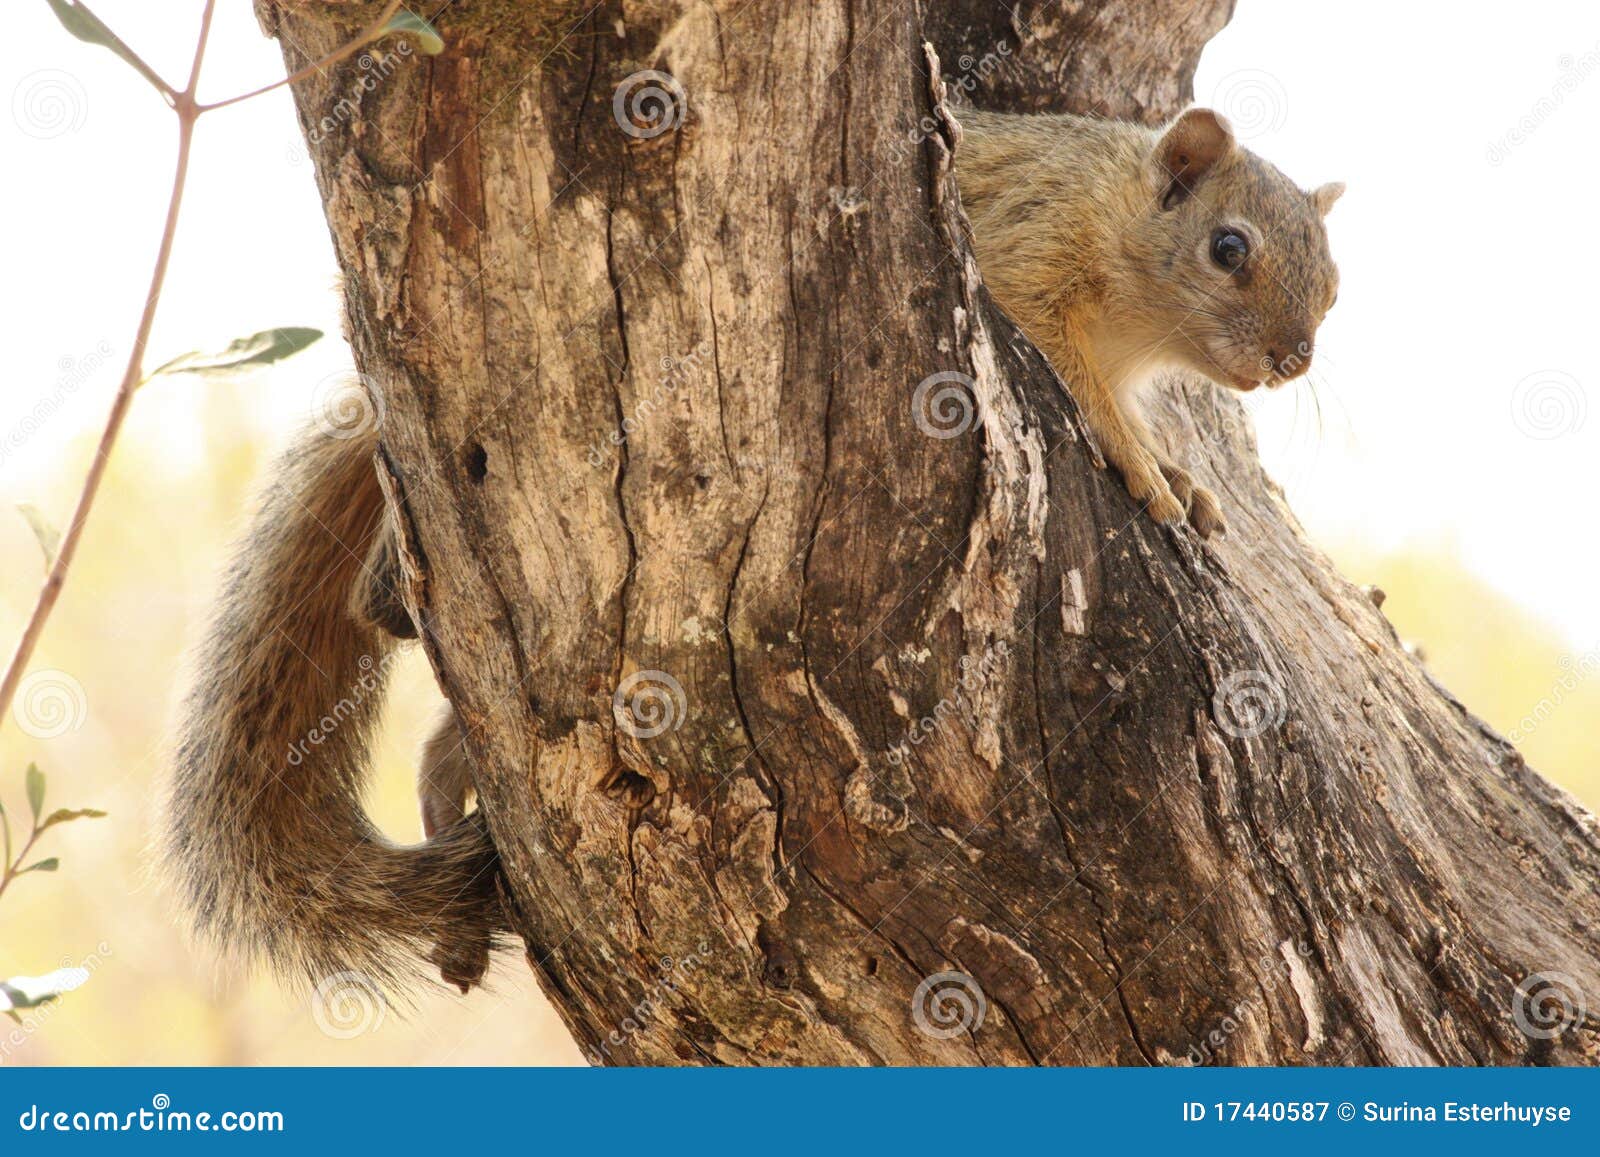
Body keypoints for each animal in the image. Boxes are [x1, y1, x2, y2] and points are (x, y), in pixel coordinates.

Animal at [954, 106, 1342, 536]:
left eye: (1334, 292)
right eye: (1229, 249)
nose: (1293, 364)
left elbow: (1126, 410)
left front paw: (1173, 470)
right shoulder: (1032, 244)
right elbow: (1089, 390)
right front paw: (1137, 459)